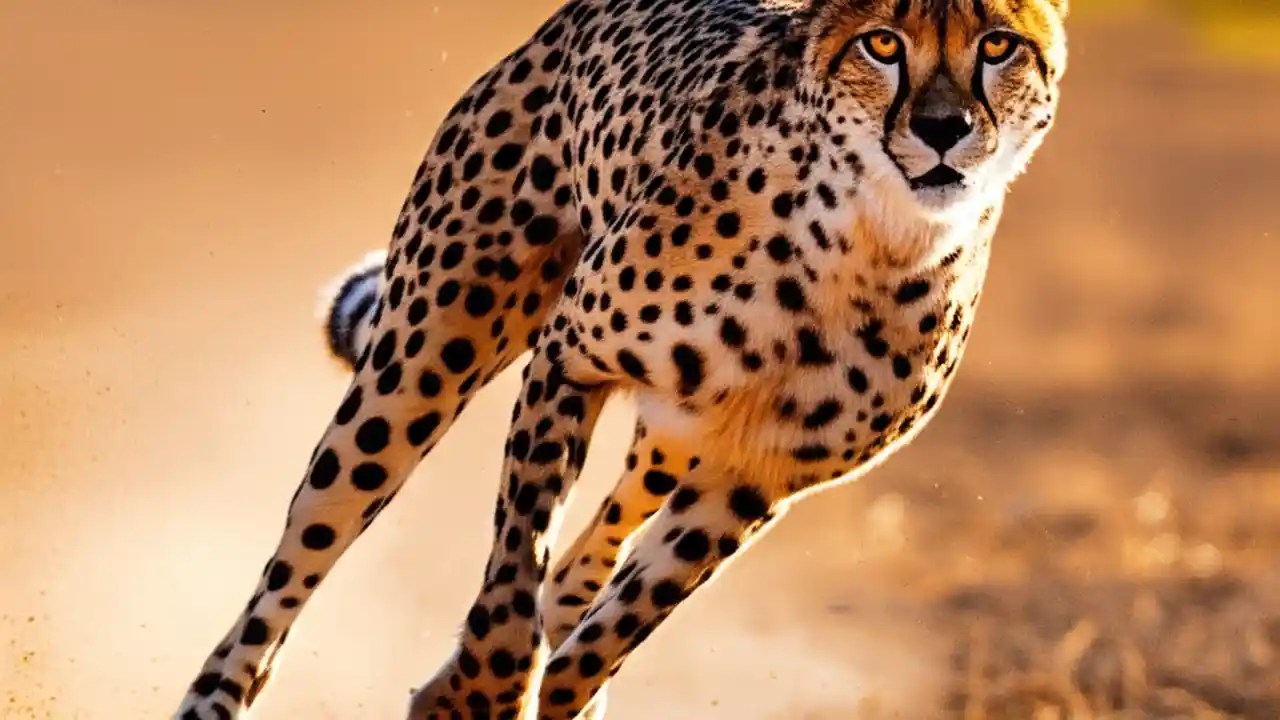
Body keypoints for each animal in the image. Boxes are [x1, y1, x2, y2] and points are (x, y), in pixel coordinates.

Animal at [175, 0, 1068, 717]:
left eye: (999, 45)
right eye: (882, 43)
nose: (943, 130)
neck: (869, 242)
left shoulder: (751, 482)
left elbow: (622, 621)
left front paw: (531, 687)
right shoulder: (568, 358)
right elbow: (514, 569)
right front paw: (484, 688)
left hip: (674, 440)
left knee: (595, 548)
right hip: (420, 366)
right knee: (294, 566)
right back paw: (220, 694)